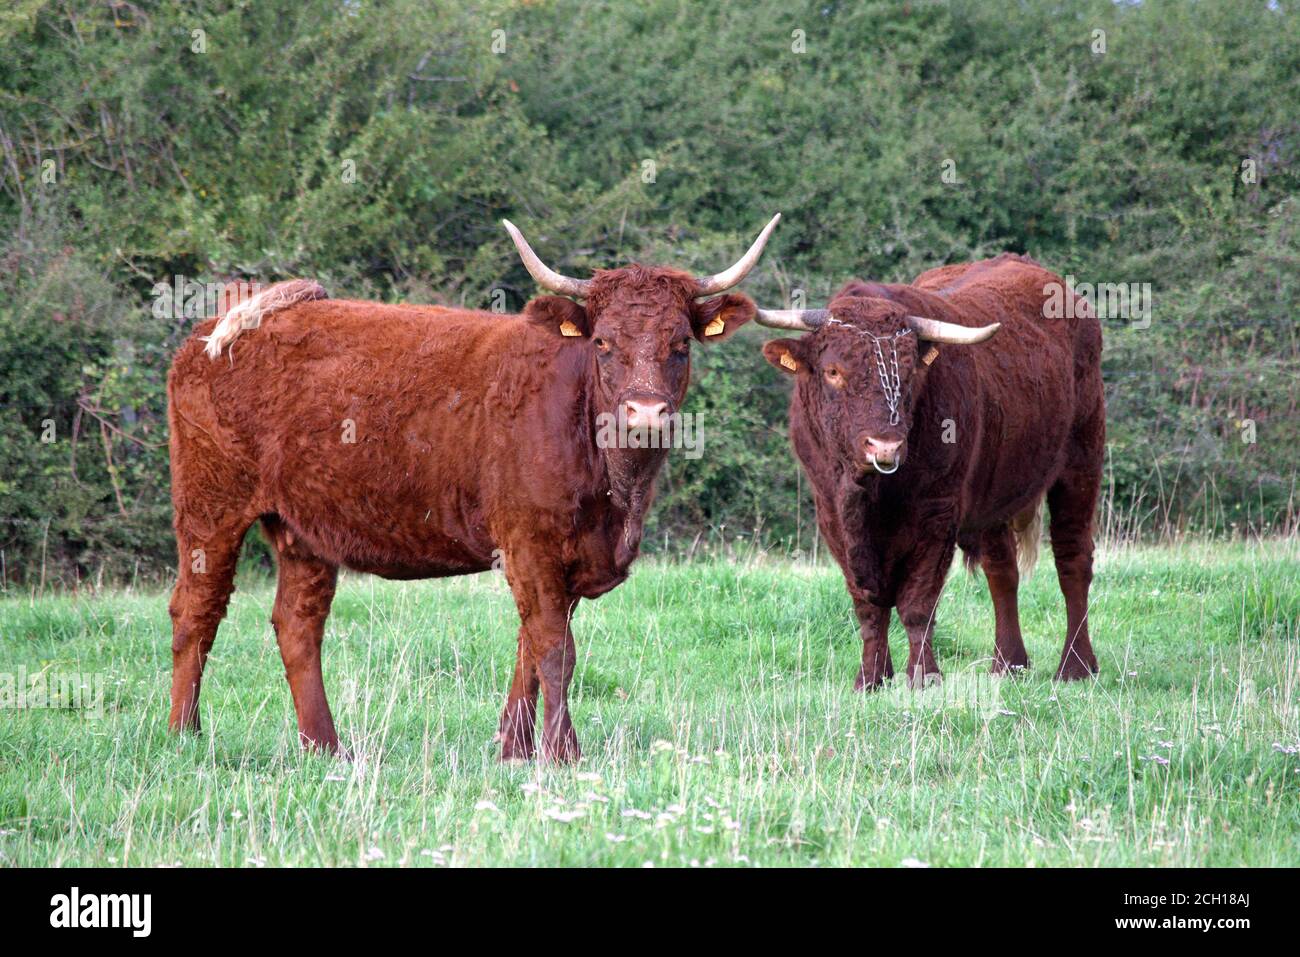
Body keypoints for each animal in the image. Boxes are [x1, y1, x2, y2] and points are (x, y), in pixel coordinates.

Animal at [166, 214, 780, 761]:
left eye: (681, 343)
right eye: (603, 343)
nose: (646, 413)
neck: (617, 492)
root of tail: (217, 327)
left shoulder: (564, 554)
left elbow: (531, 646)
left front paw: (514, 747)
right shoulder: (530, 541)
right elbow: (555, 648)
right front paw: (562, 753)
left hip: (304, 529)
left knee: (298, 624)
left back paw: (326, 747)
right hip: (210, 507)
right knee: (197, 610)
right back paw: (184, 736)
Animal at [754, 254, 1103, 689]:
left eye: (909, 374)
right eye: (833, 371)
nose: (884, 446)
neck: (870, 492)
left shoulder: (937, 511)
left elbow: (918, 601)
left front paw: (923, 676)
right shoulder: (832, 512)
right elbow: (868, 603)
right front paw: (871, 678)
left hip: (1081, 460)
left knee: (1073, 560)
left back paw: (1076, 666)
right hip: (994, 490)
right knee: (1002, 571)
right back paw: (1008, 664)